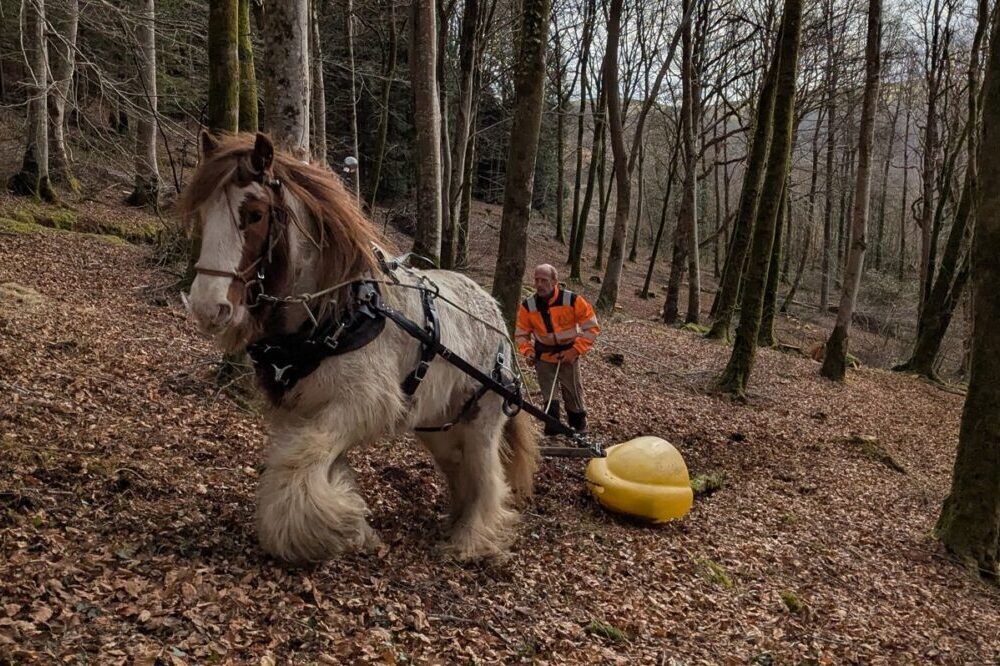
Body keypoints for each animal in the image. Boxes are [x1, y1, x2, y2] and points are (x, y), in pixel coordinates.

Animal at [182, 131, 538, 563]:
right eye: (204, 213)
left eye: (254, 214)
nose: (207, 306)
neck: (336, 311)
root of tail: (496, 315)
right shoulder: (298, 409)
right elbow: (314, 458)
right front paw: (352, 526)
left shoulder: (361, 403)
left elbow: (299, 459)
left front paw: (320, 528)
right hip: (438, 422)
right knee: (460, 466)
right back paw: (457, 520)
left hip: (482, 418)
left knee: (486, 474)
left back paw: (472, 538)